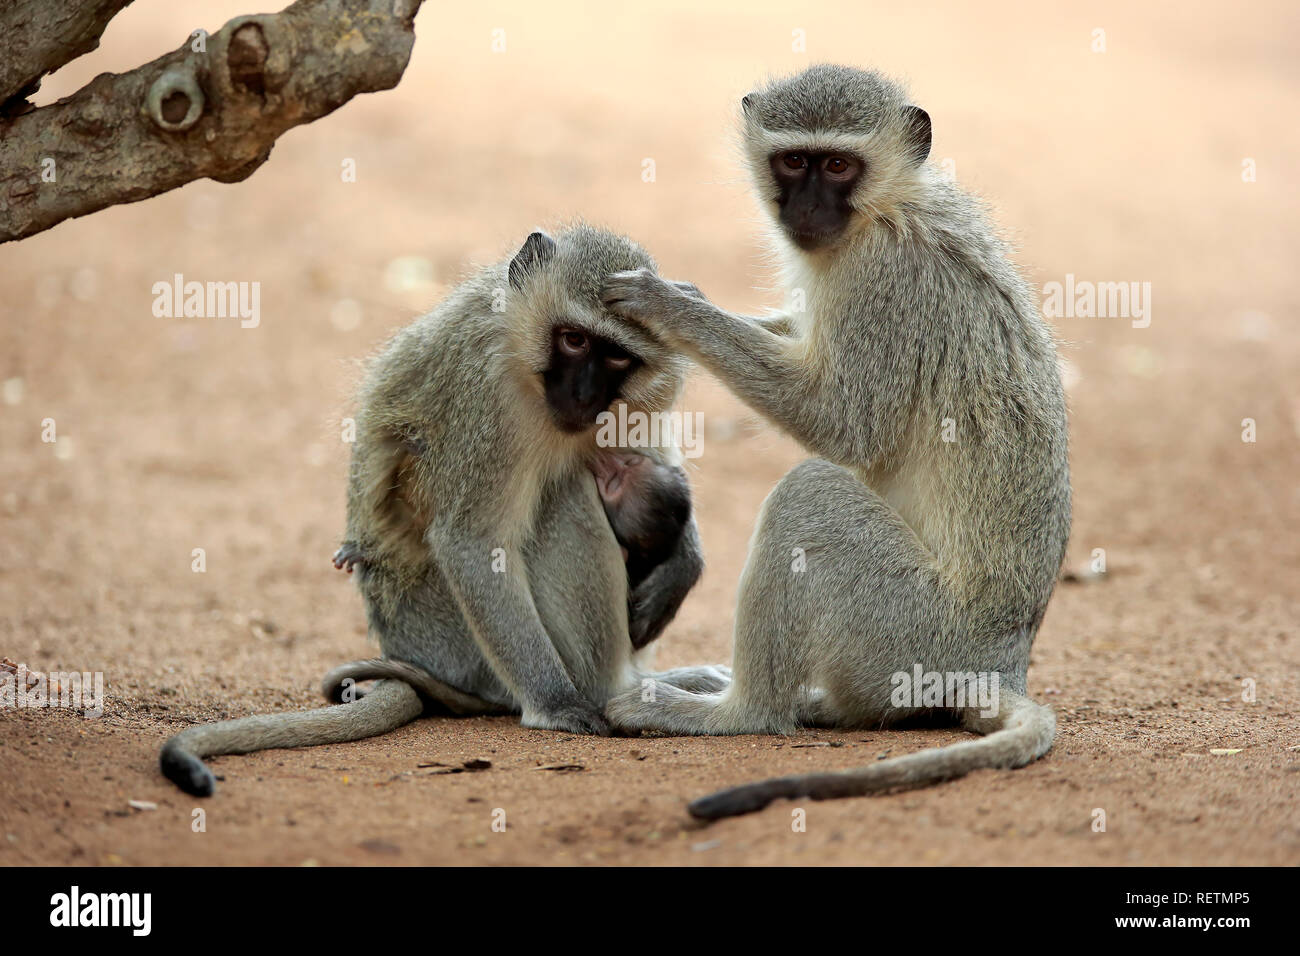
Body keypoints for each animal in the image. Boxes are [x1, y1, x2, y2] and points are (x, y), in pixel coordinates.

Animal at [160, 226, 728, 797]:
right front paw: (556, 704)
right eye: (574, 340)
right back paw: (614, 691)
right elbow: (473, 543)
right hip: (458, 646)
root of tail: (410, 651)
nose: (584, 394)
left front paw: (686, 561)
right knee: (564, 498)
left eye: (616, 358)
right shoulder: (484, 398)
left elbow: (653, 460)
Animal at [599, 64, 1071, 820]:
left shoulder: (882, 278)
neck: (887, 208)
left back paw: (737, 712)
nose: (809, 208)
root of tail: (997, 663)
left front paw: (669, 307)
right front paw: (688, 297)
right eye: (795, 162)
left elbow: (843, 423)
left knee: (810, 493)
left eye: (840, 166)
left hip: (904, 630)